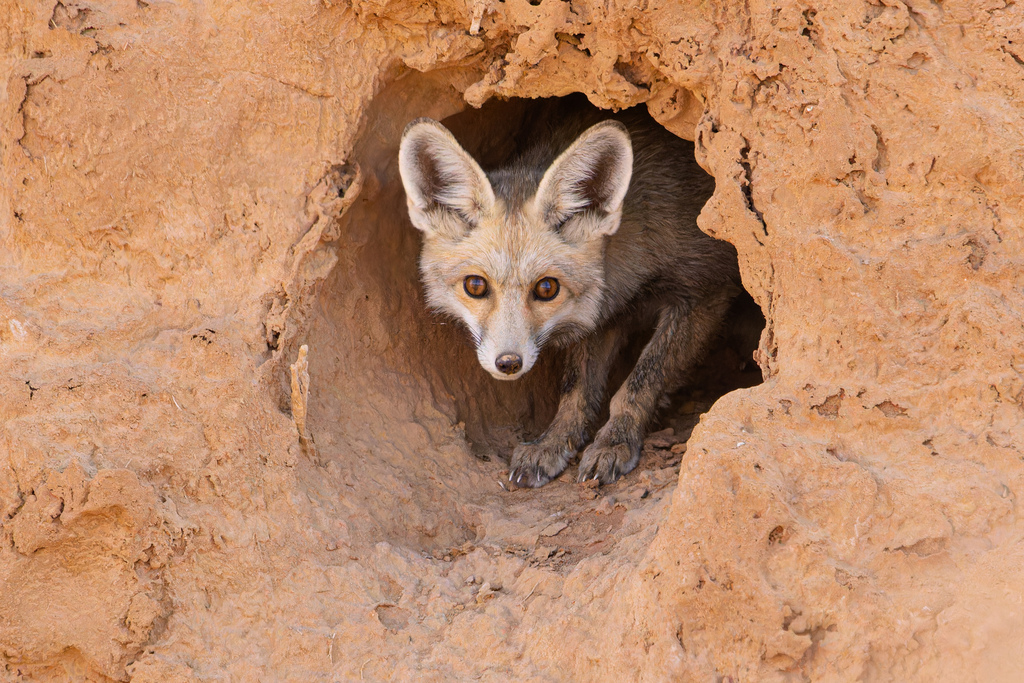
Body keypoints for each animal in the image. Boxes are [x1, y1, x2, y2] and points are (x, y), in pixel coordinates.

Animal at [398, 99, 742, 487]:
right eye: (476, 285)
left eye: (546, 288)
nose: (508, 363)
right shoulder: (603, 316)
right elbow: (576, 388)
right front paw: (552, 442)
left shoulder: (704, 291)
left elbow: (641, 381)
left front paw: (615, 441)